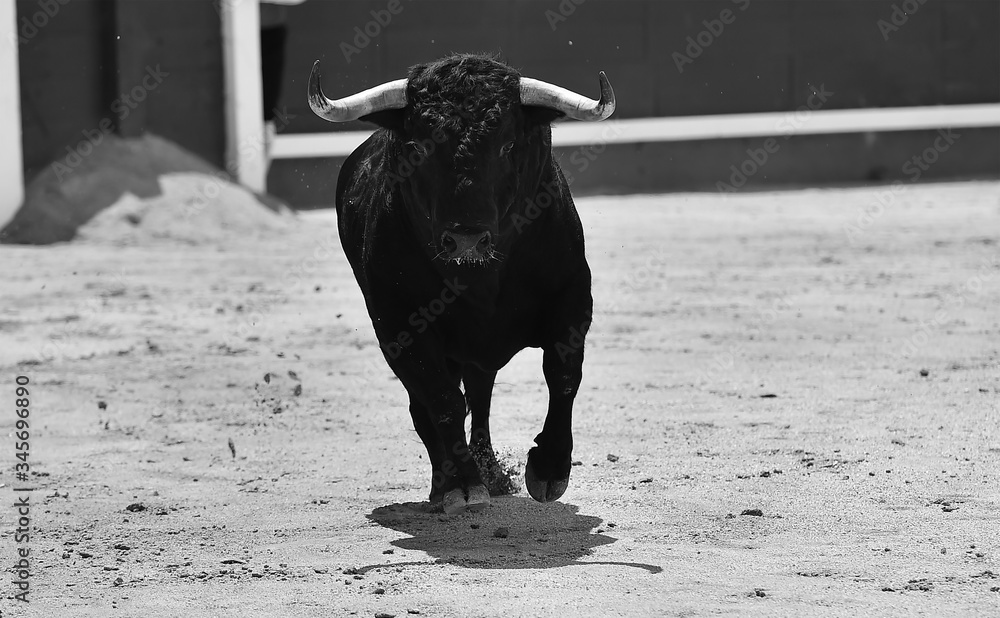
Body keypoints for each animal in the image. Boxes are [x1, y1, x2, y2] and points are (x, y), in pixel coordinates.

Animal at [309, 53, 615, 514]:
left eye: (508, 146)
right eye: (418, 148)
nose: (467, 239)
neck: (479, 279)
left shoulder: (572, 294)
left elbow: (562, 376)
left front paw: (549, 470)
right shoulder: (399, 325)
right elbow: (443, 400)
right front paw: (464, 484)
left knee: (481, 397)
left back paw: (493, 473)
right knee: (429, 408)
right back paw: (449, 483)